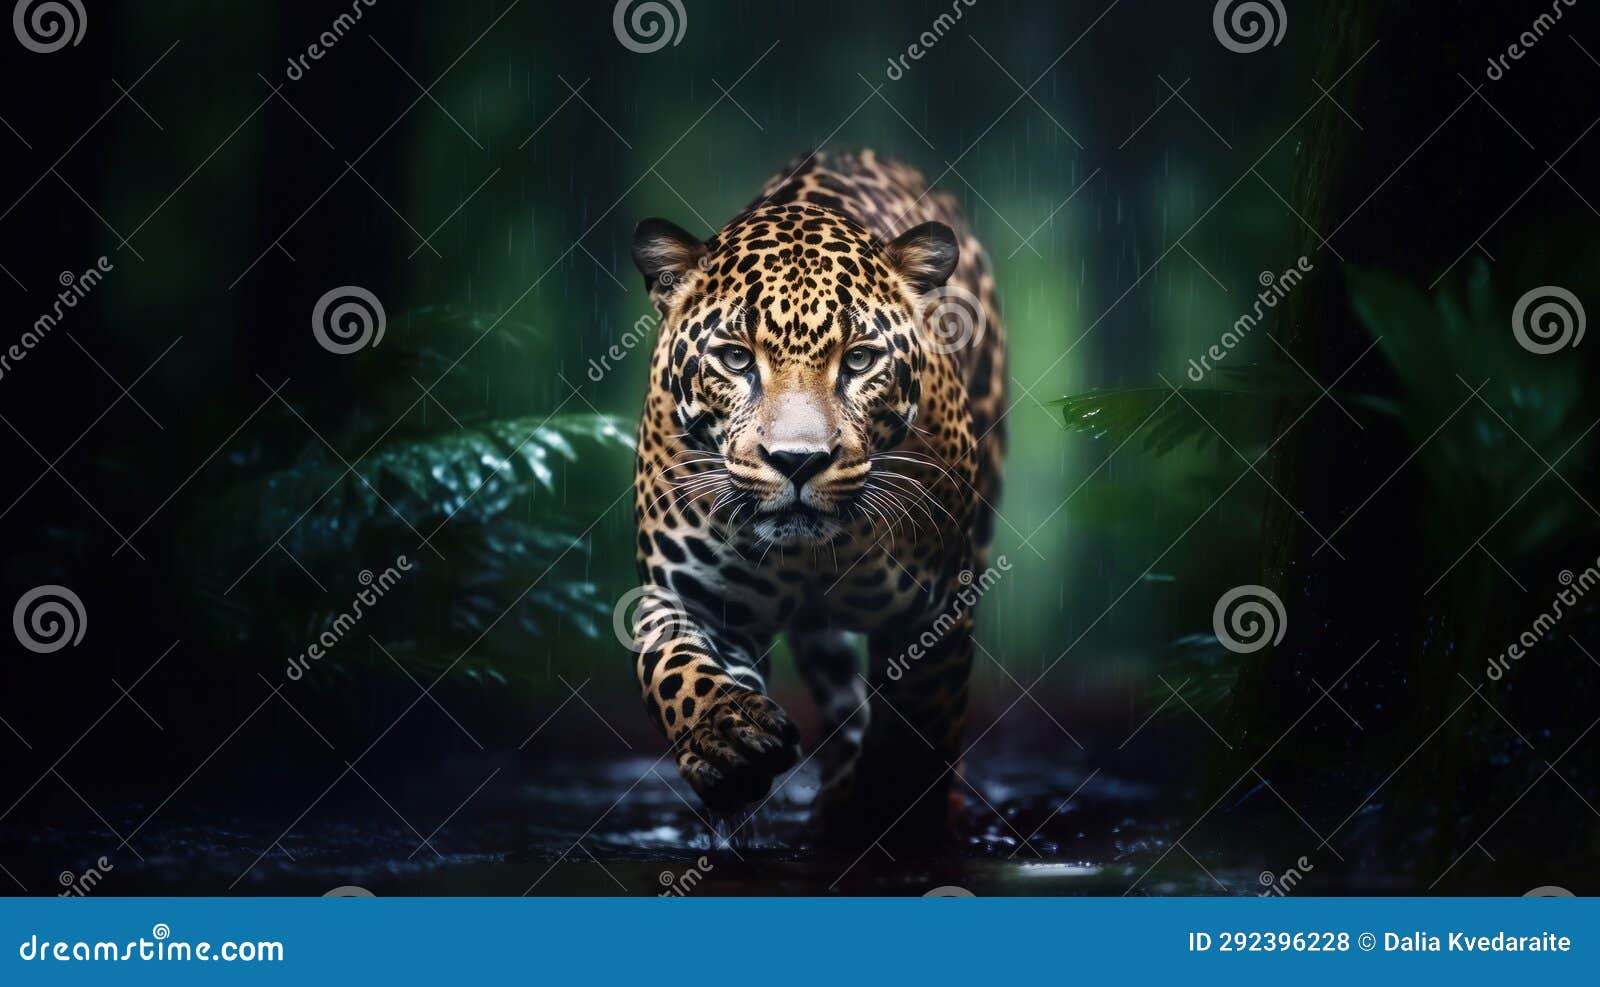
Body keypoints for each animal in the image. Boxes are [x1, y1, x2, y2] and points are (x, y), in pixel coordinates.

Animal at [626, 149, 1006, 848]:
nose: (797, 460)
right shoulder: (684, 593)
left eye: (858, 361)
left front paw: (892, 816)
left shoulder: (935, 611)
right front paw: (728, 739)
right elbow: (676, 668)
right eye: (734, 358)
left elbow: (916, 734)